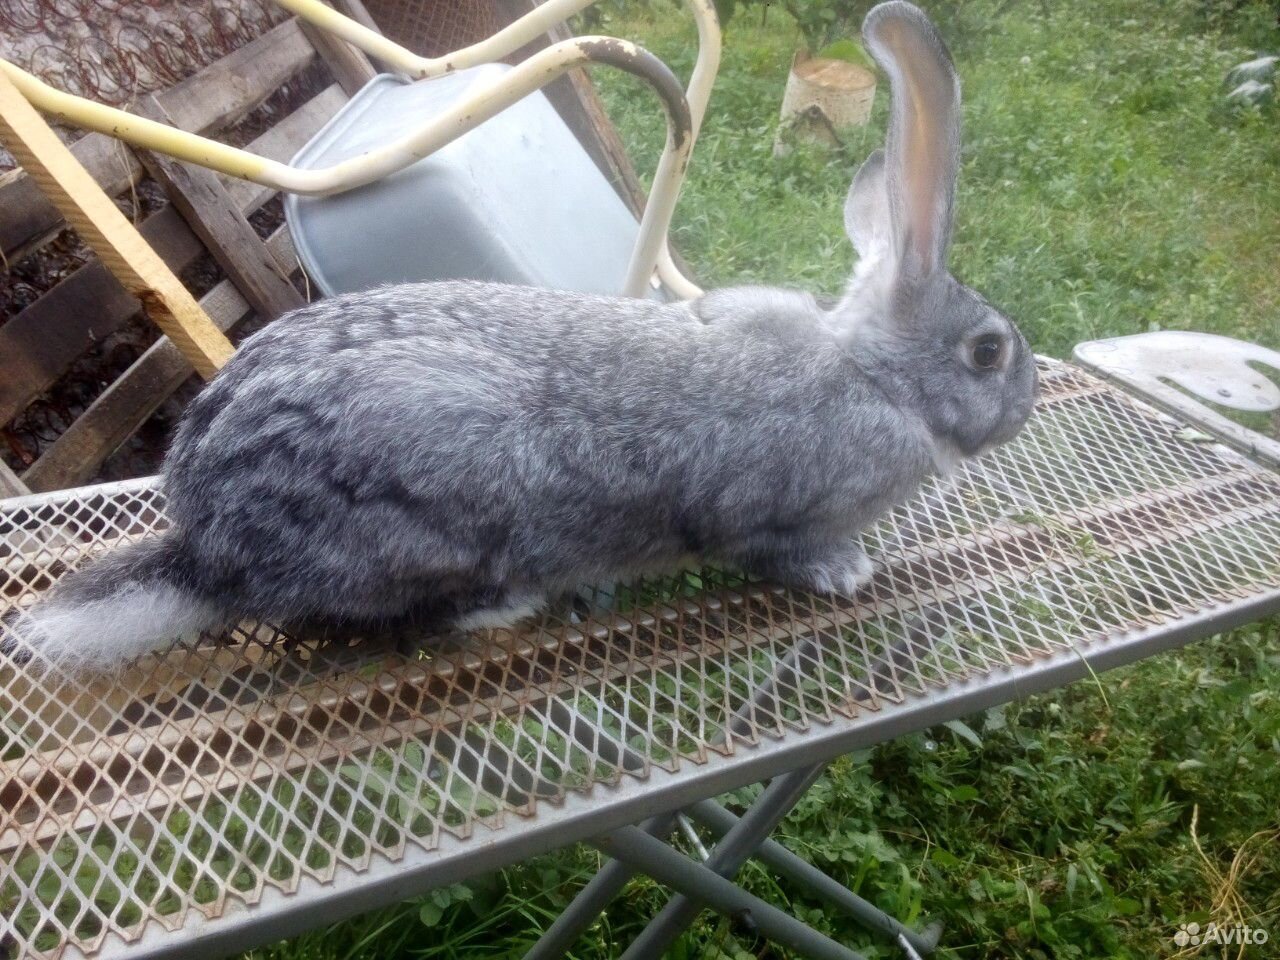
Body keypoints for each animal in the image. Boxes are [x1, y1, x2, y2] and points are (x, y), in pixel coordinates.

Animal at [2, 1, 1038, 670]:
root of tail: (207, 541)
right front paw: (846, 574)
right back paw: (501, 608)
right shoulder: (777, 513)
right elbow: (777, 547)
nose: (1023, 407)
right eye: (988, 352)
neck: (877, 374)